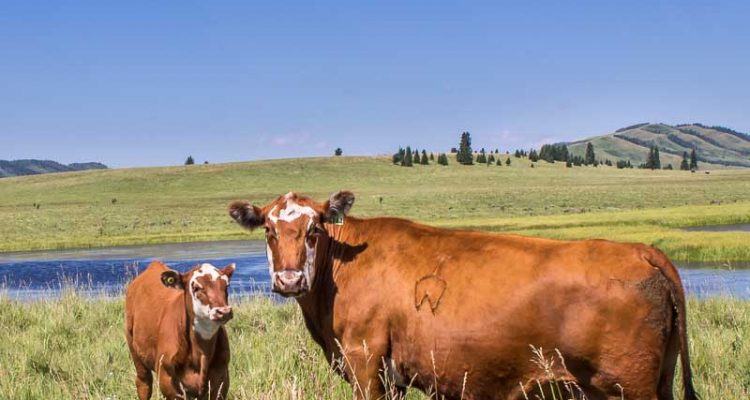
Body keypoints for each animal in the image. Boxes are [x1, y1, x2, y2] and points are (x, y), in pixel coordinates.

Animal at [125, 261, 236, 400]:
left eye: (226, 285)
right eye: (196, 287)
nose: (223, 311)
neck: (201, 353)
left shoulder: (222, 380)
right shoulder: (168, 381)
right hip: (134, 349)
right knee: (144, 383)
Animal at [228, 191, 699, 400]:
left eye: (313, 229)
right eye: (269, 229)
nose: (289, 280)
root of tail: (640, 249)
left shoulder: (365, 363)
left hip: (629, 385)